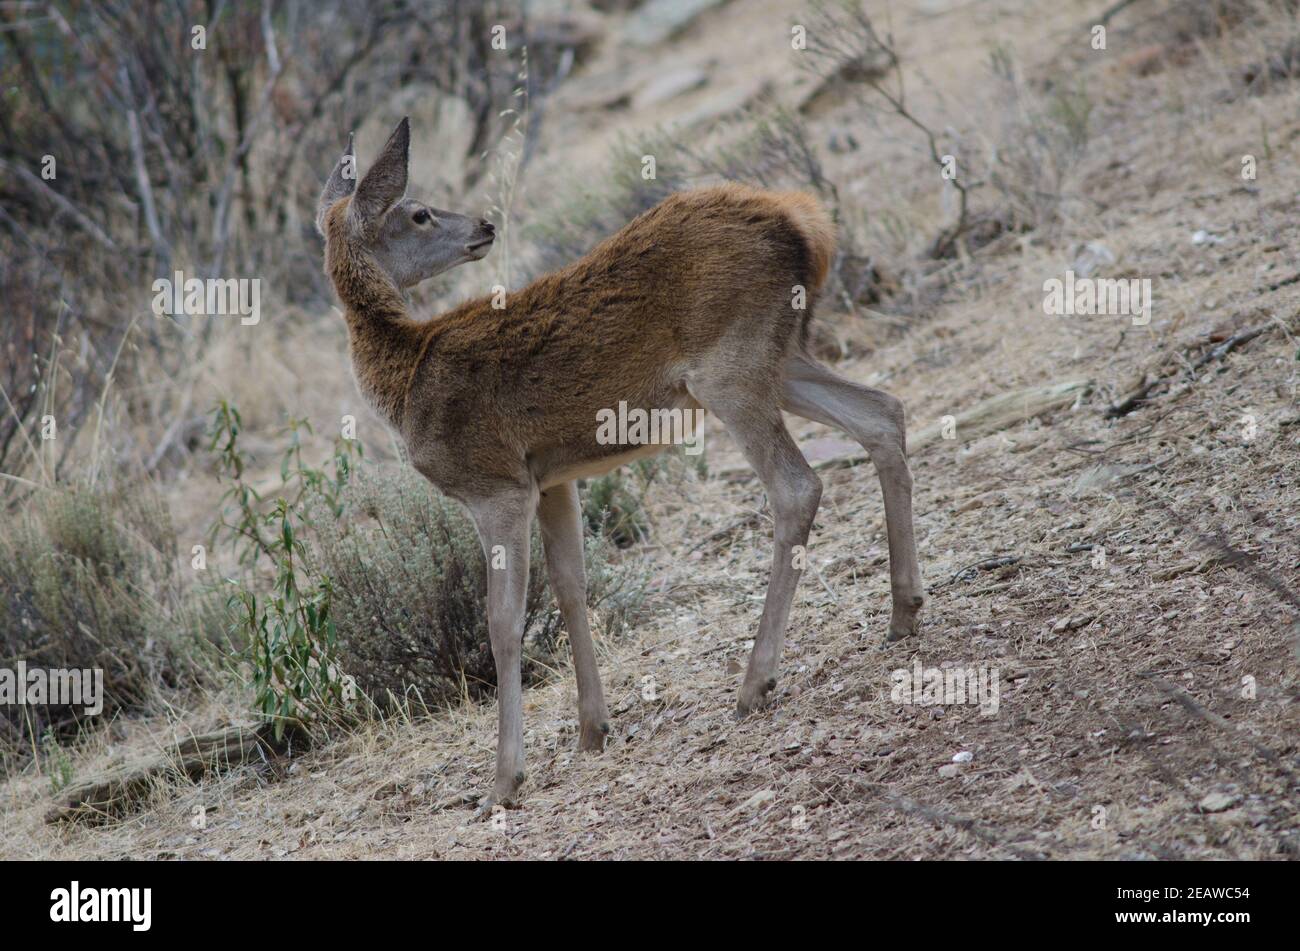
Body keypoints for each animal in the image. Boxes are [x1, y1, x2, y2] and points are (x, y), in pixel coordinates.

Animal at [316, 118, 924, 813]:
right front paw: (592, 730)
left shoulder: (495, 484)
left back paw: (755, 682)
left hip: (729, 366)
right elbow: (571, 587)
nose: (485, 226)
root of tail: (807, 223)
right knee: (882, 413)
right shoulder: (551, 479)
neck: (407, 380)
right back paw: (904, 612)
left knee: (798, 486)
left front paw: (504, 781)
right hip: (781, 359)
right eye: (419, 213)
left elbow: (503, 621)